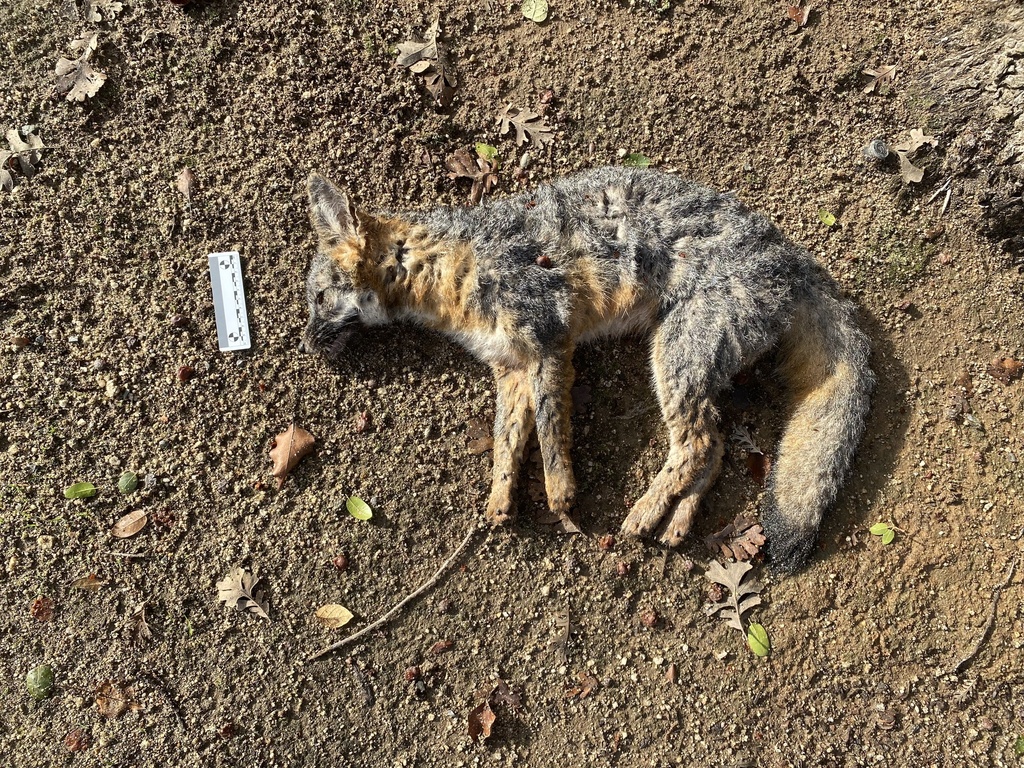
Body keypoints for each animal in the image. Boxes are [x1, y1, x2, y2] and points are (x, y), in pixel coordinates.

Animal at [299, 167, 874, 572]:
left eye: (320, 300)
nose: (306, 345)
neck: (452, 266)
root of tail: (790, 256)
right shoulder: (512, 369)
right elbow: (508, 442)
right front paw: (501, 499)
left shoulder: (550, 343)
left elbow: (552, 434)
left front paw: (560, 495)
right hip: (694, 369)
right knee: (714, 446)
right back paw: (676, 521)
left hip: (673, 359)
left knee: (695, 444)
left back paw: (643, 512)